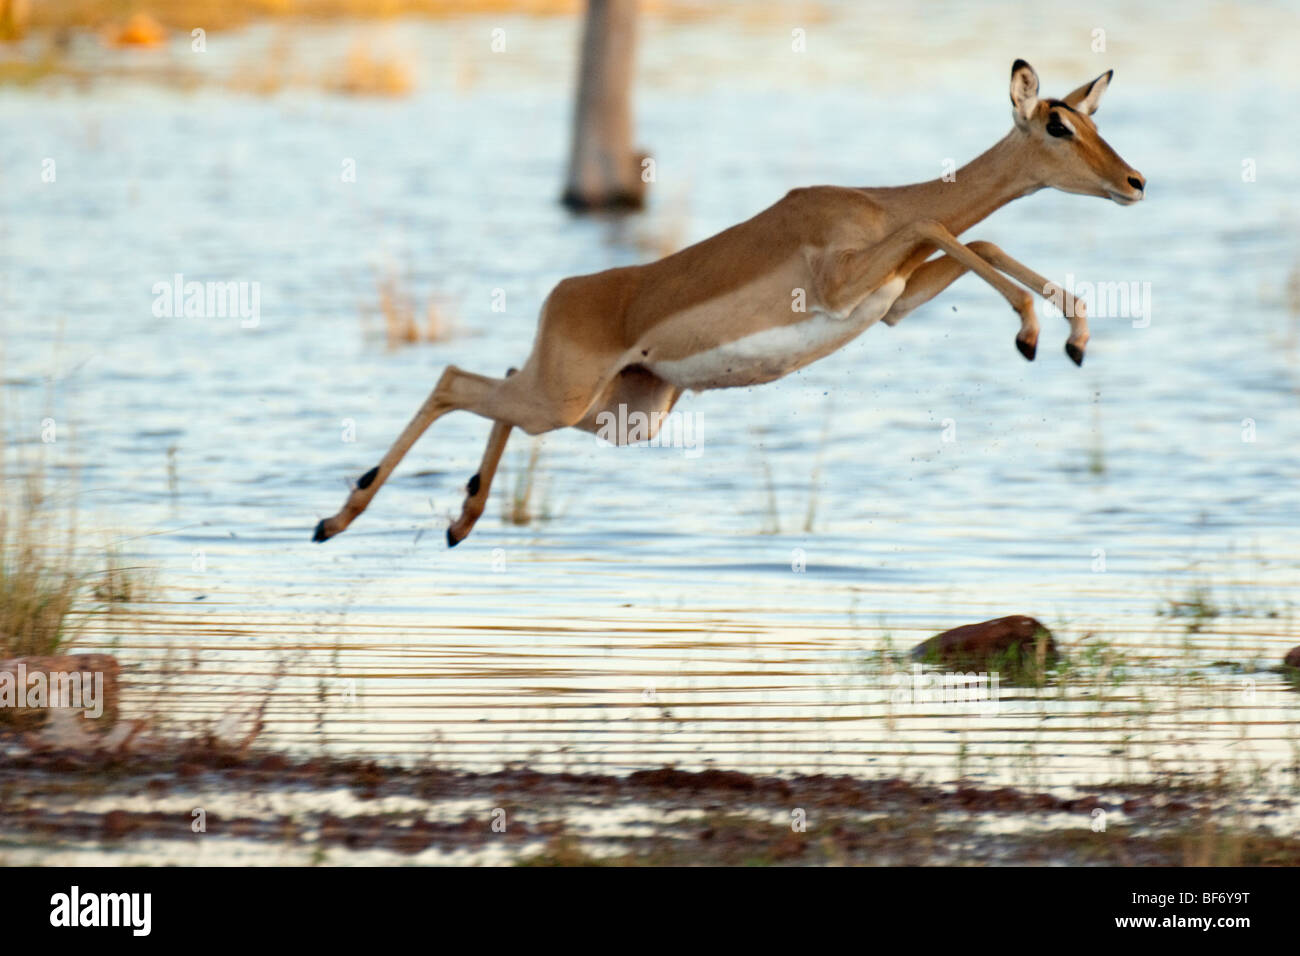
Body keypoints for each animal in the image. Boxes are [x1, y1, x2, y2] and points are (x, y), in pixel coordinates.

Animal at [313, 60, 1145, 547]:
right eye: (1057, 123)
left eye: (1093, 119)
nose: (1135, 182)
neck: (874, 202)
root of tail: (566, 292)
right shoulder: (847, 282)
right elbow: (941, 225)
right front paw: (1035, 335)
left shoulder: (892, 301)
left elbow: (983, 242)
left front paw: (1070, 337)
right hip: (570, 400)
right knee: (453, 378)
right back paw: (334, 519)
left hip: (617, 415)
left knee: (494, 386)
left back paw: (461, 519)